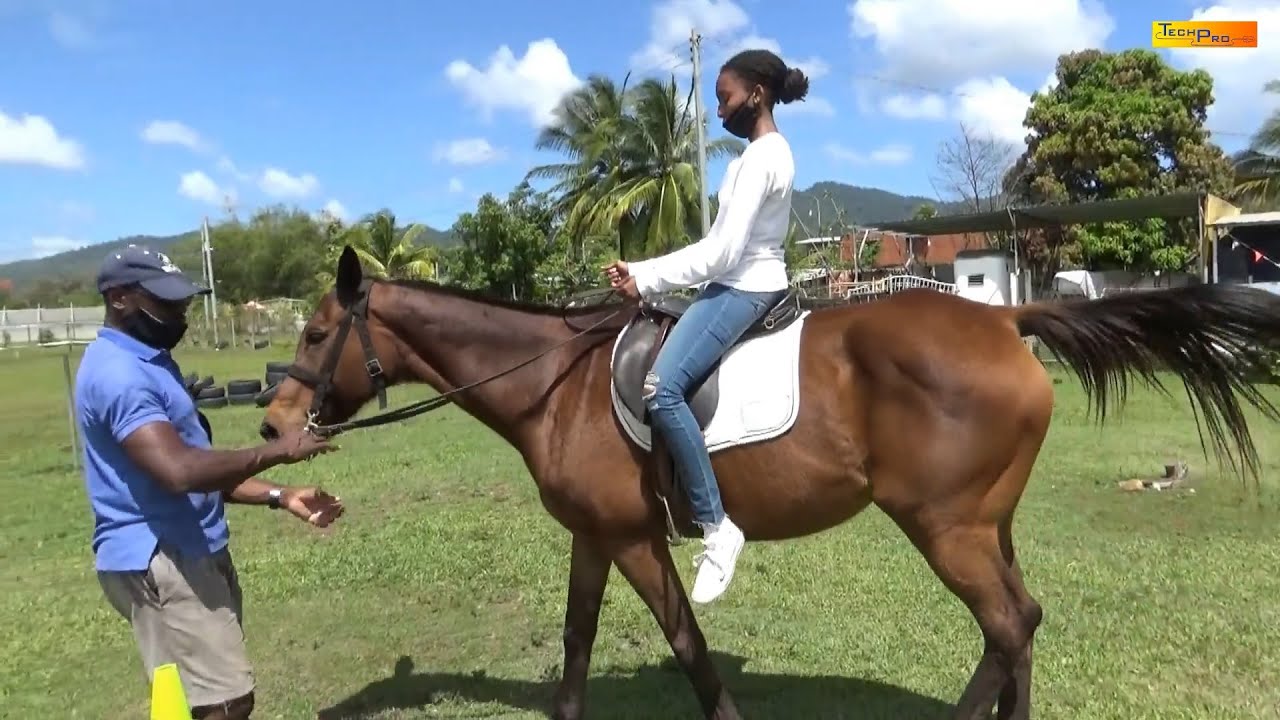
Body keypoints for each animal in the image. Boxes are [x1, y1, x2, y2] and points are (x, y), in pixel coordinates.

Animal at [261, 245, 1280, 720]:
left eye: (316, 335)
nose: (270, 427)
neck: (557, 384)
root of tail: (1005, 318)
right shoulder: (596, 535)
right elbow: (579, 640)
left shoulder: (634, 538)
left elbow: (687, 643)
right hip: (988, 525)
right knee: (1020, 629)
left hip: (943, 528)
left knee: (1008, 624)